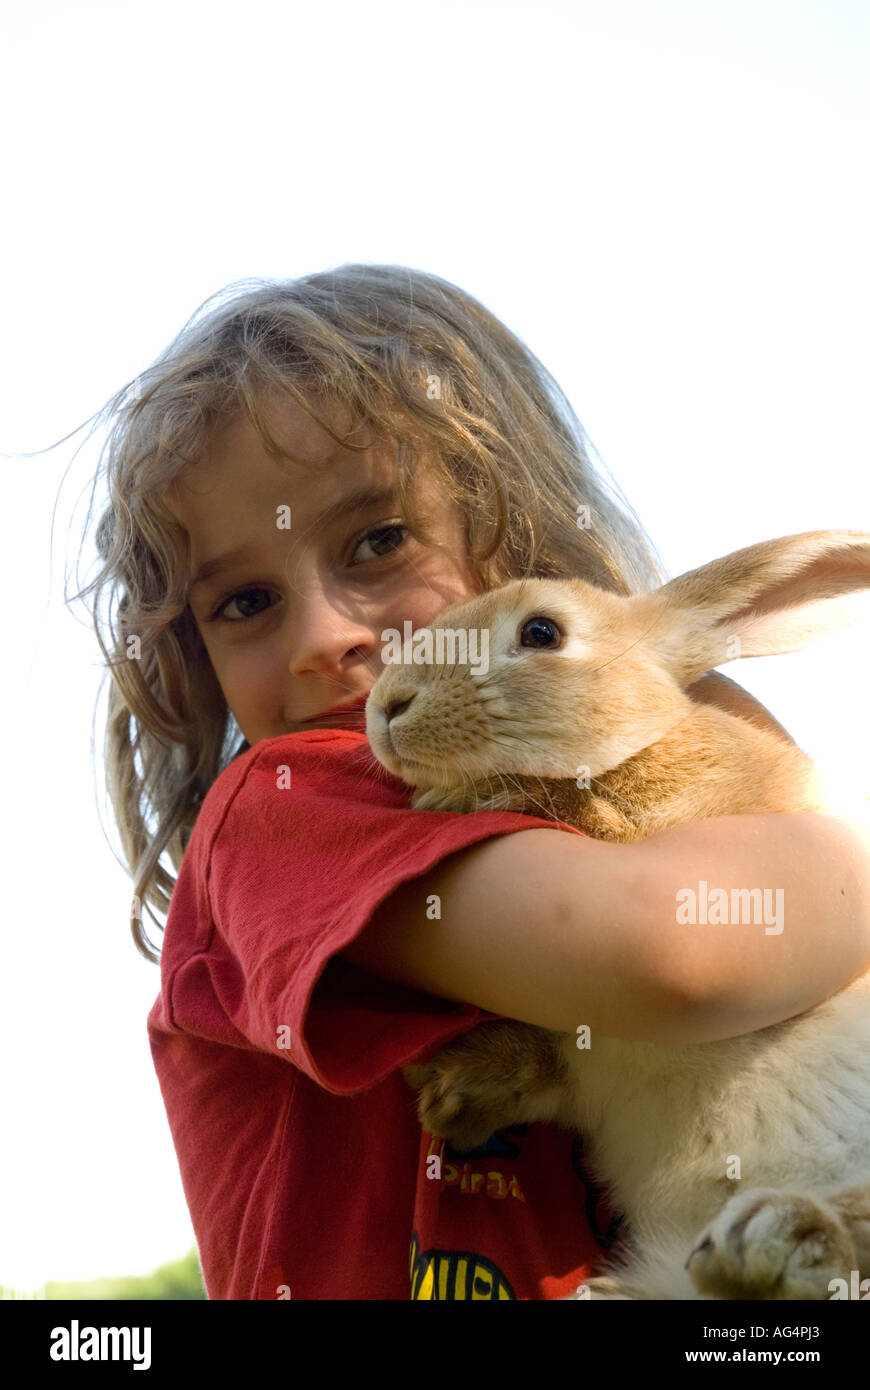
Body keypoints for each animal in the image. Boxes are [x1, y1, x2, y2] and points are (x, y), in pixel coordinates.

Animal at [364, 529, 870, 1300]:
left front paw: (468, 800)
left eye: (542, 632)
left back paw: (777, 1238)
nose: (388, 704)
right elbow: (548, 1068)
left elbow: (588, 814)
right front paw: (452, 1091)